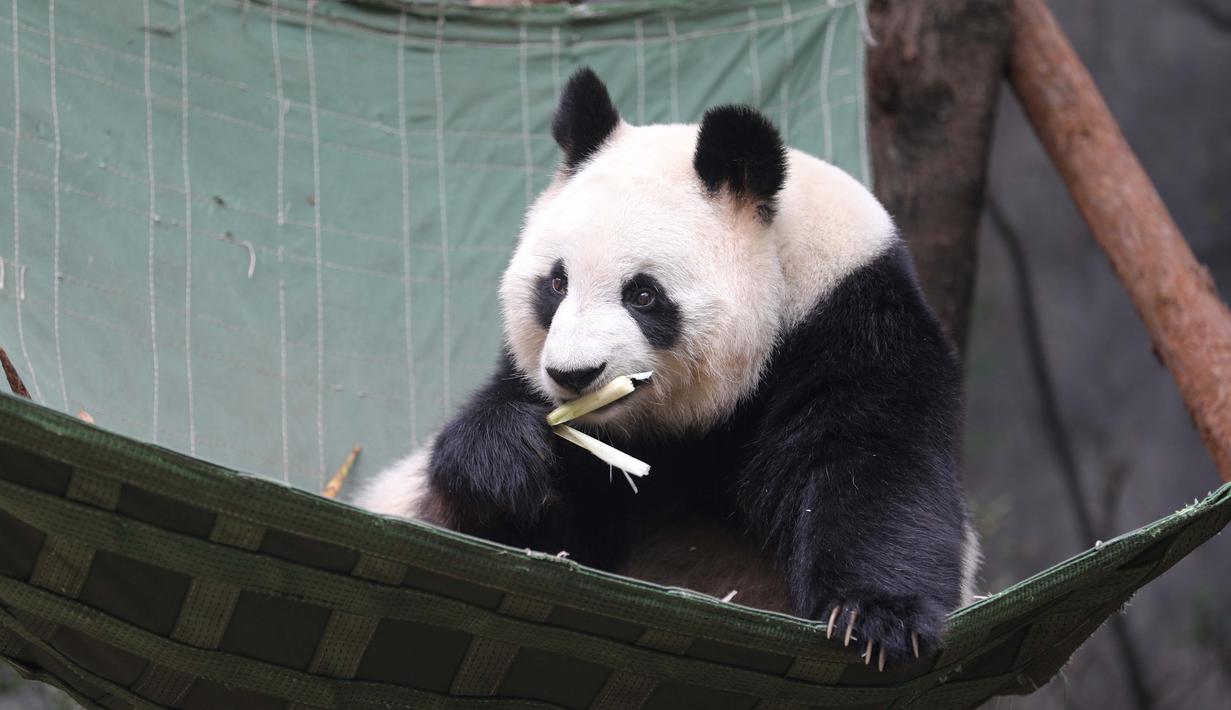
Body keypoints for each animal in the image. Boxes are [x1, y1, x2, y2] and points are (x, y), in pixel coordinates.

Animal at [356, 68, 979, 669]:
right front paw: (505, 458)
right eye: (556, 284)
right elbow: (537, 531)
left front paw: (877, 619)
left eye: (644, 295)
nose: (574, 375)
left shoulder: (853, 322)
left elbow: (875, 461)